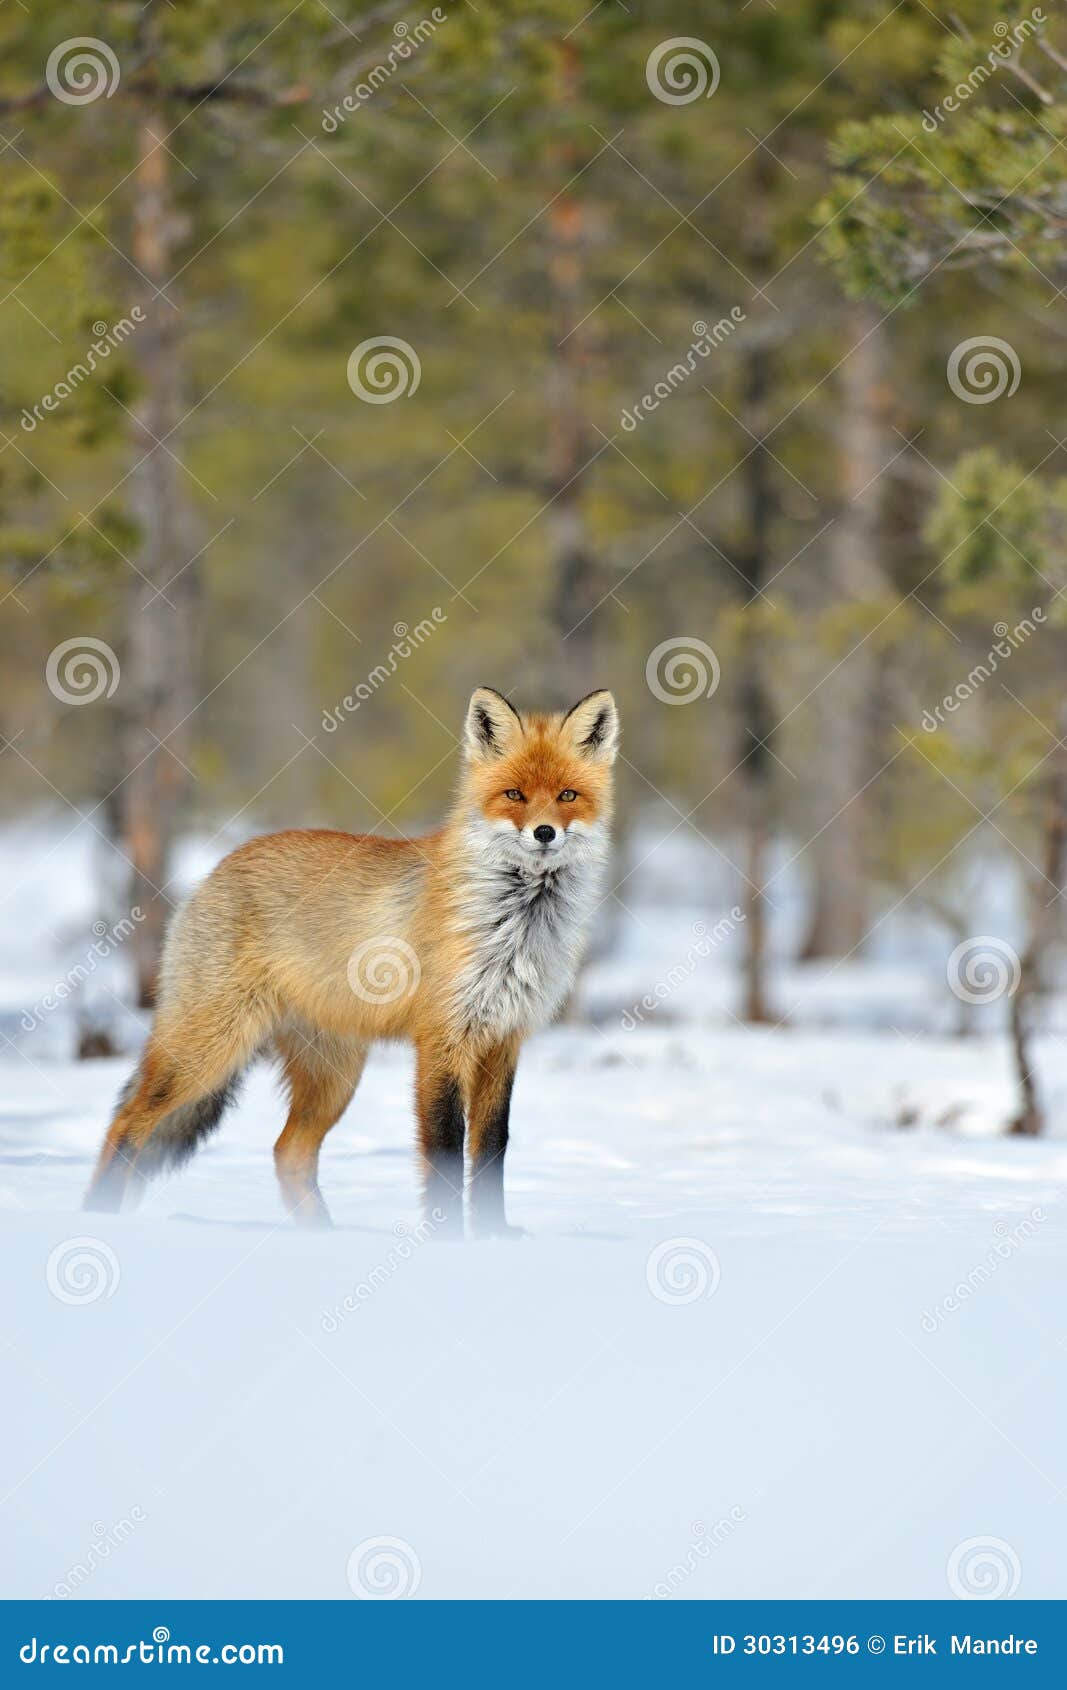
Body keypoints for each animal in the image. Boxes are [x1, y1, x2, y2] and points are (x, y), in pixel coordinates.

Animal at [85, 686, 618, 1236]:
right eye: (514, 794)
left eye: (568, 796)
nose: (544, 833)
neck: (515, 925)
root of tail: (214, 870)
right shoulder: (442, 1040)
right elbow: (446, 1148)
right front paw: (448, 1238)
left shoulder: (503, 1041)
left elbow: (492, 1149)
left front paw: (493, 1236)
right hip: (206, 1052)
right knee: (125, 1122)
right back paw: (96, 1218)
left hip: (333, 1077)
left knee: (288, 1152)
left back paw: (326, 1236)